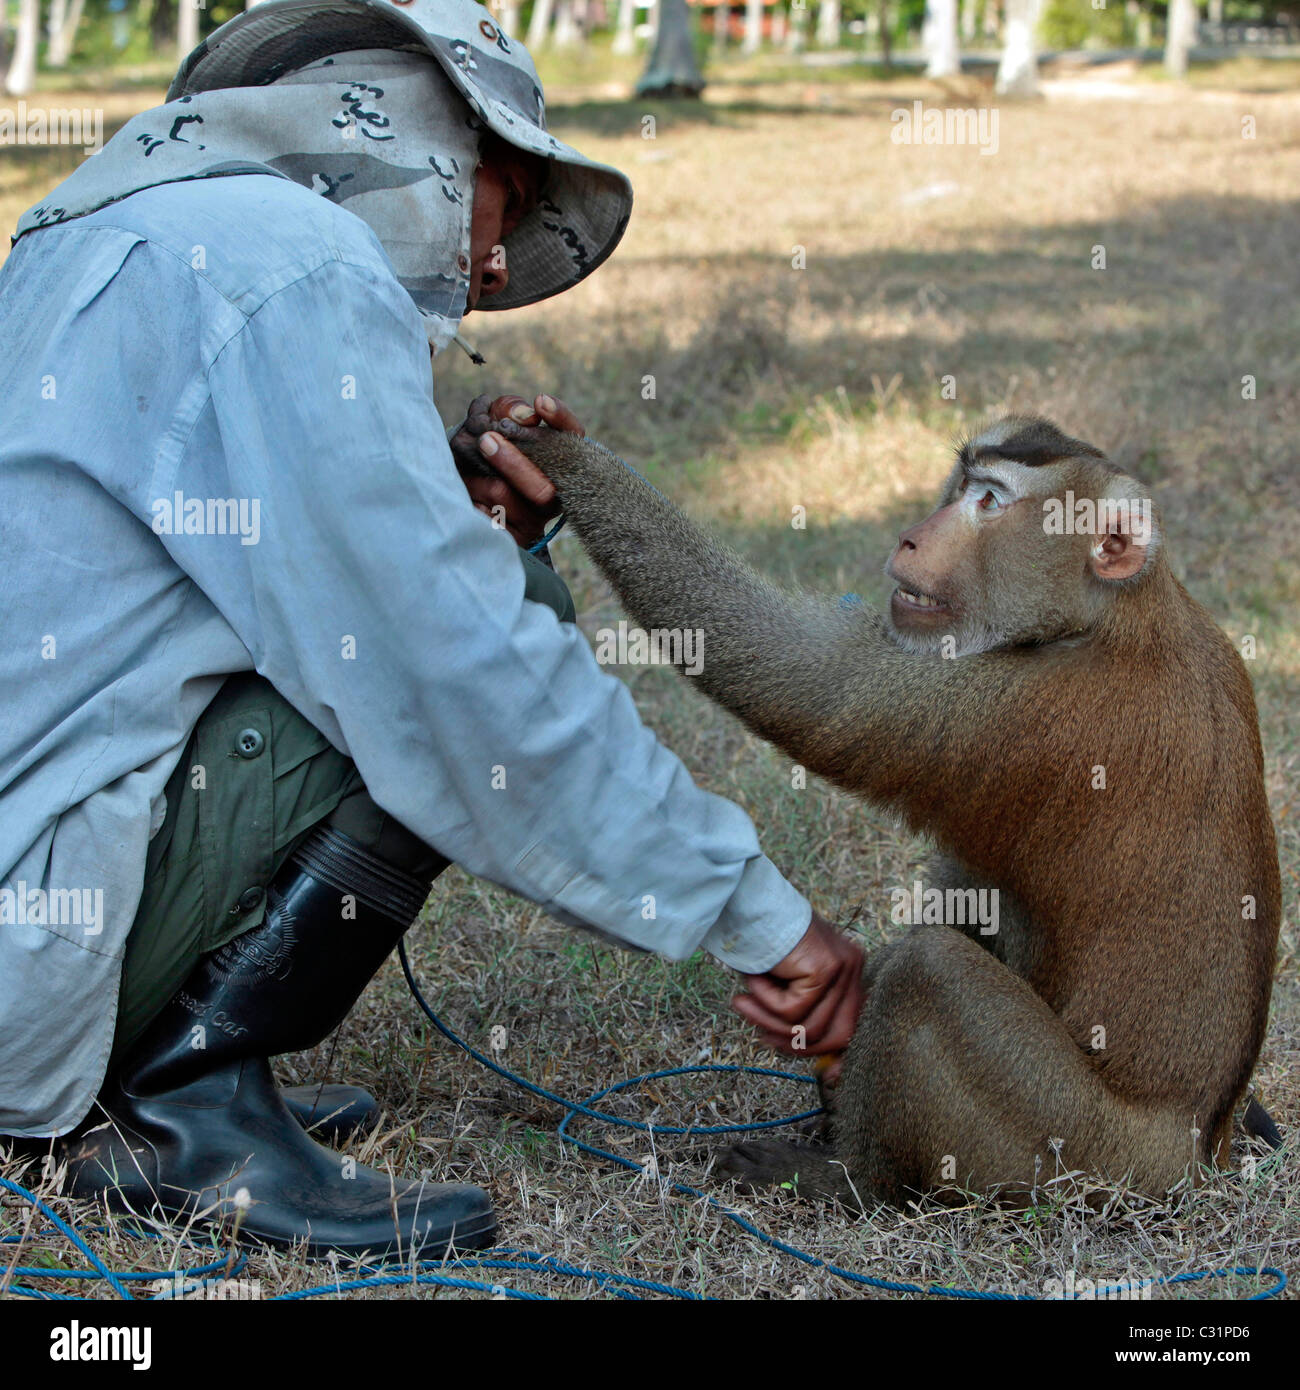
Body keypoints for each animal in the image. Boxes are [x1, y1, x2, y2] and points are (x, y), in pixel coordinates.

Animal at [484, 410, 1283, 1209]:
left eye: (990, 501)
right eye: (963, 483)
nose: (911, 537)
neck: (1112, 609)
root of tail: (1192, 1152)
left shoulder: (1016, 709)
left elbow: (804, 681)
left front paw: (553, 452)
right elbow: (976, 895)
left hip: (1074, 1147)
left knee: (929, 973)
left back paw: (852, 1179)